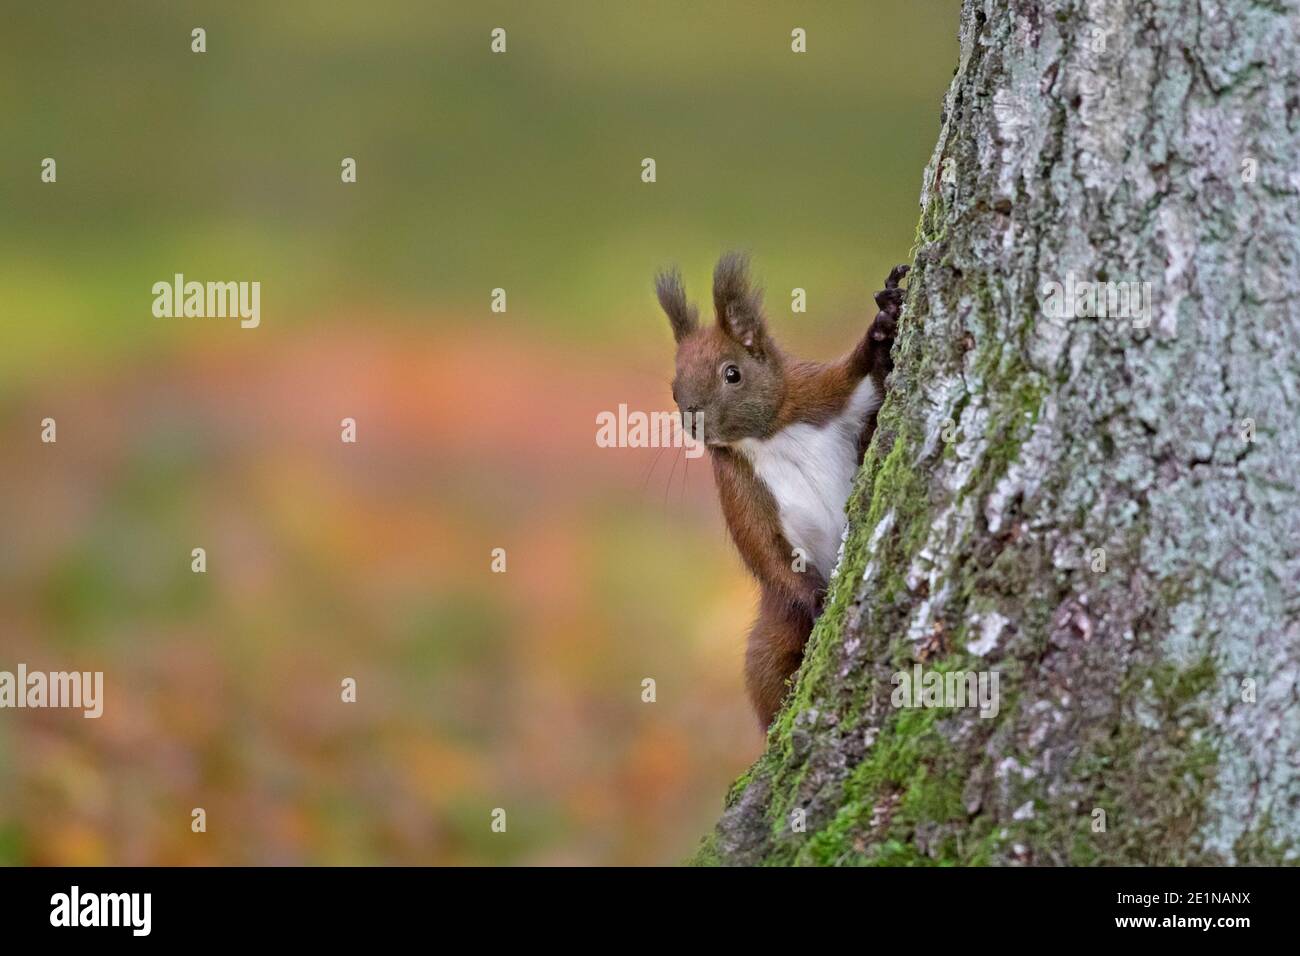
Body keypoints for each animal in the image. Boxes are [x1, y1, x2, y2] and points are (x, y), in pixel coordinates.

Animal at [655, 253, 908, 729]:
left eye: (732, 374)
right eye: (674, 388)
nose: (692, 419)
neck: (768, 436)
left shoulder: (824, 396)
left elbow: (867, 380)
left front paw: (884, 320)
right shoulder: (738, 487)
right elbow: (765, 548)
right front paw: (819, 599)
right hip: (773, 638)